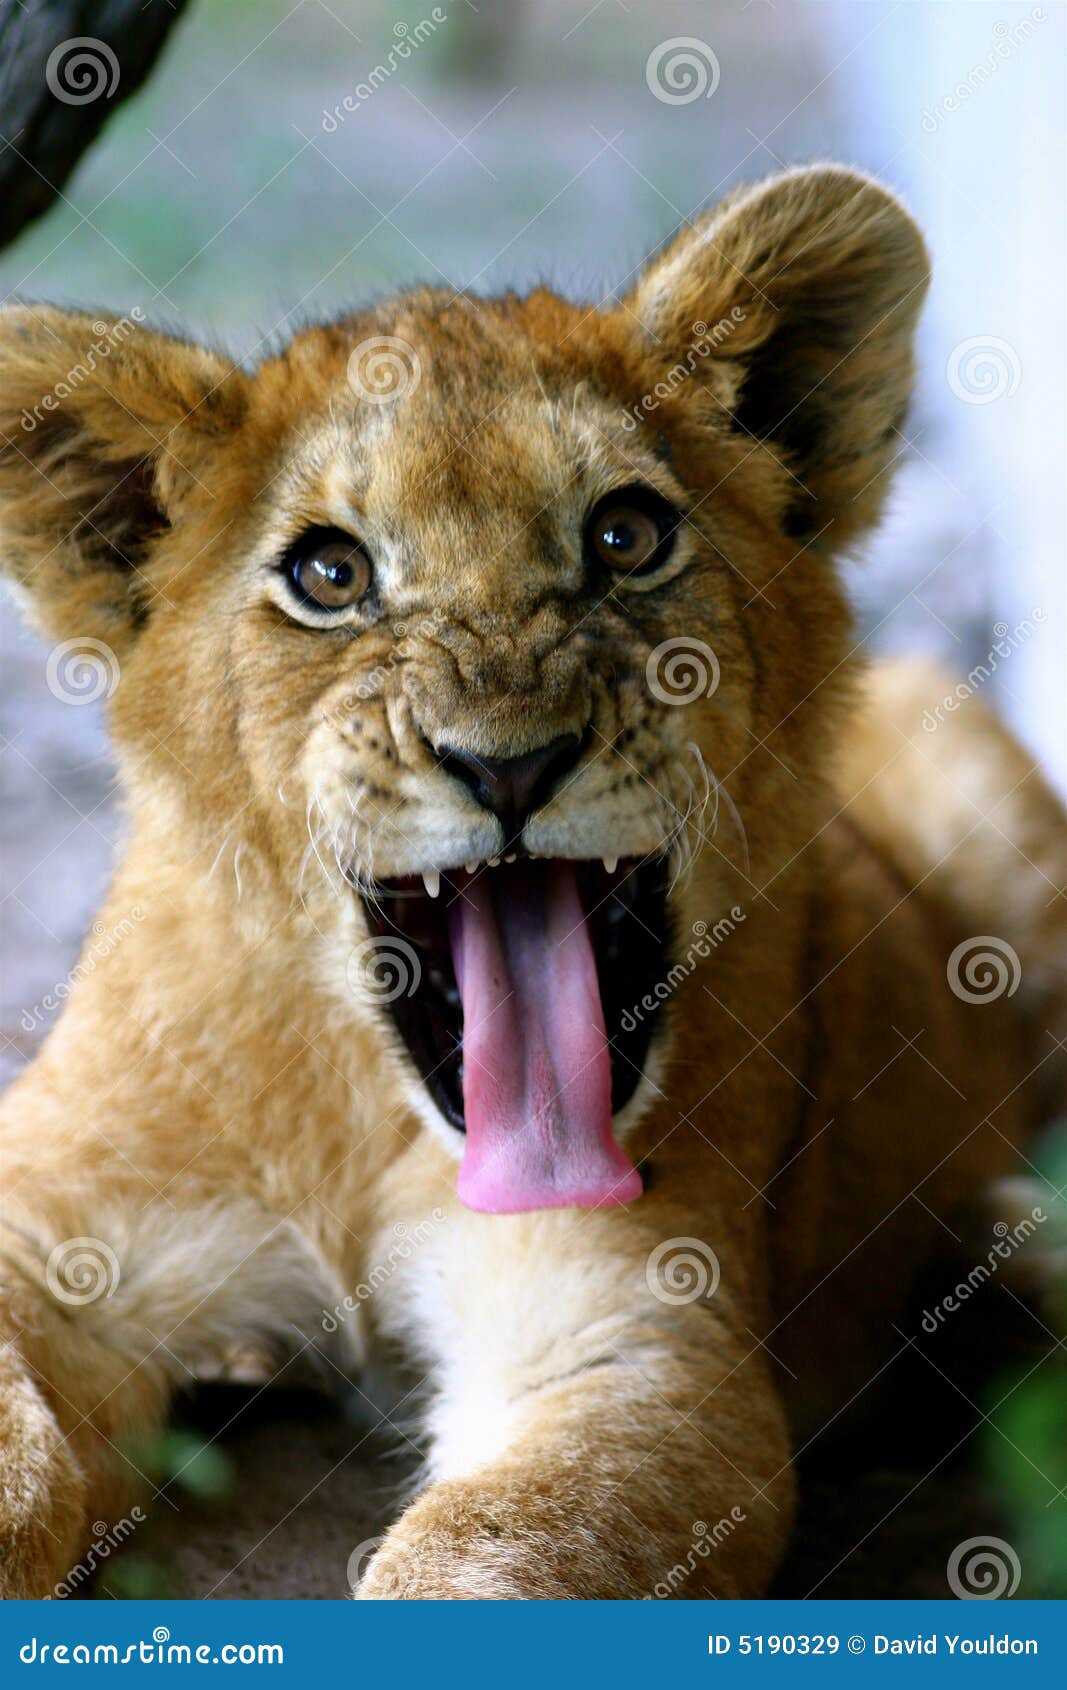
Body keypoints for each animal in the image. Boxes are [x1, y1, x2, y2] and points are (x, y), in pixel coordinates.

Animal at [0, 165, 1064, 1599]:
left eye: (624, 534)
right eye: (329, 573)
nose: (505, 762)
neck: (368, 1122)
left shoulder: (630, 1343)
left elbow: (481, 1556)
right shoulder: (44, 1212)